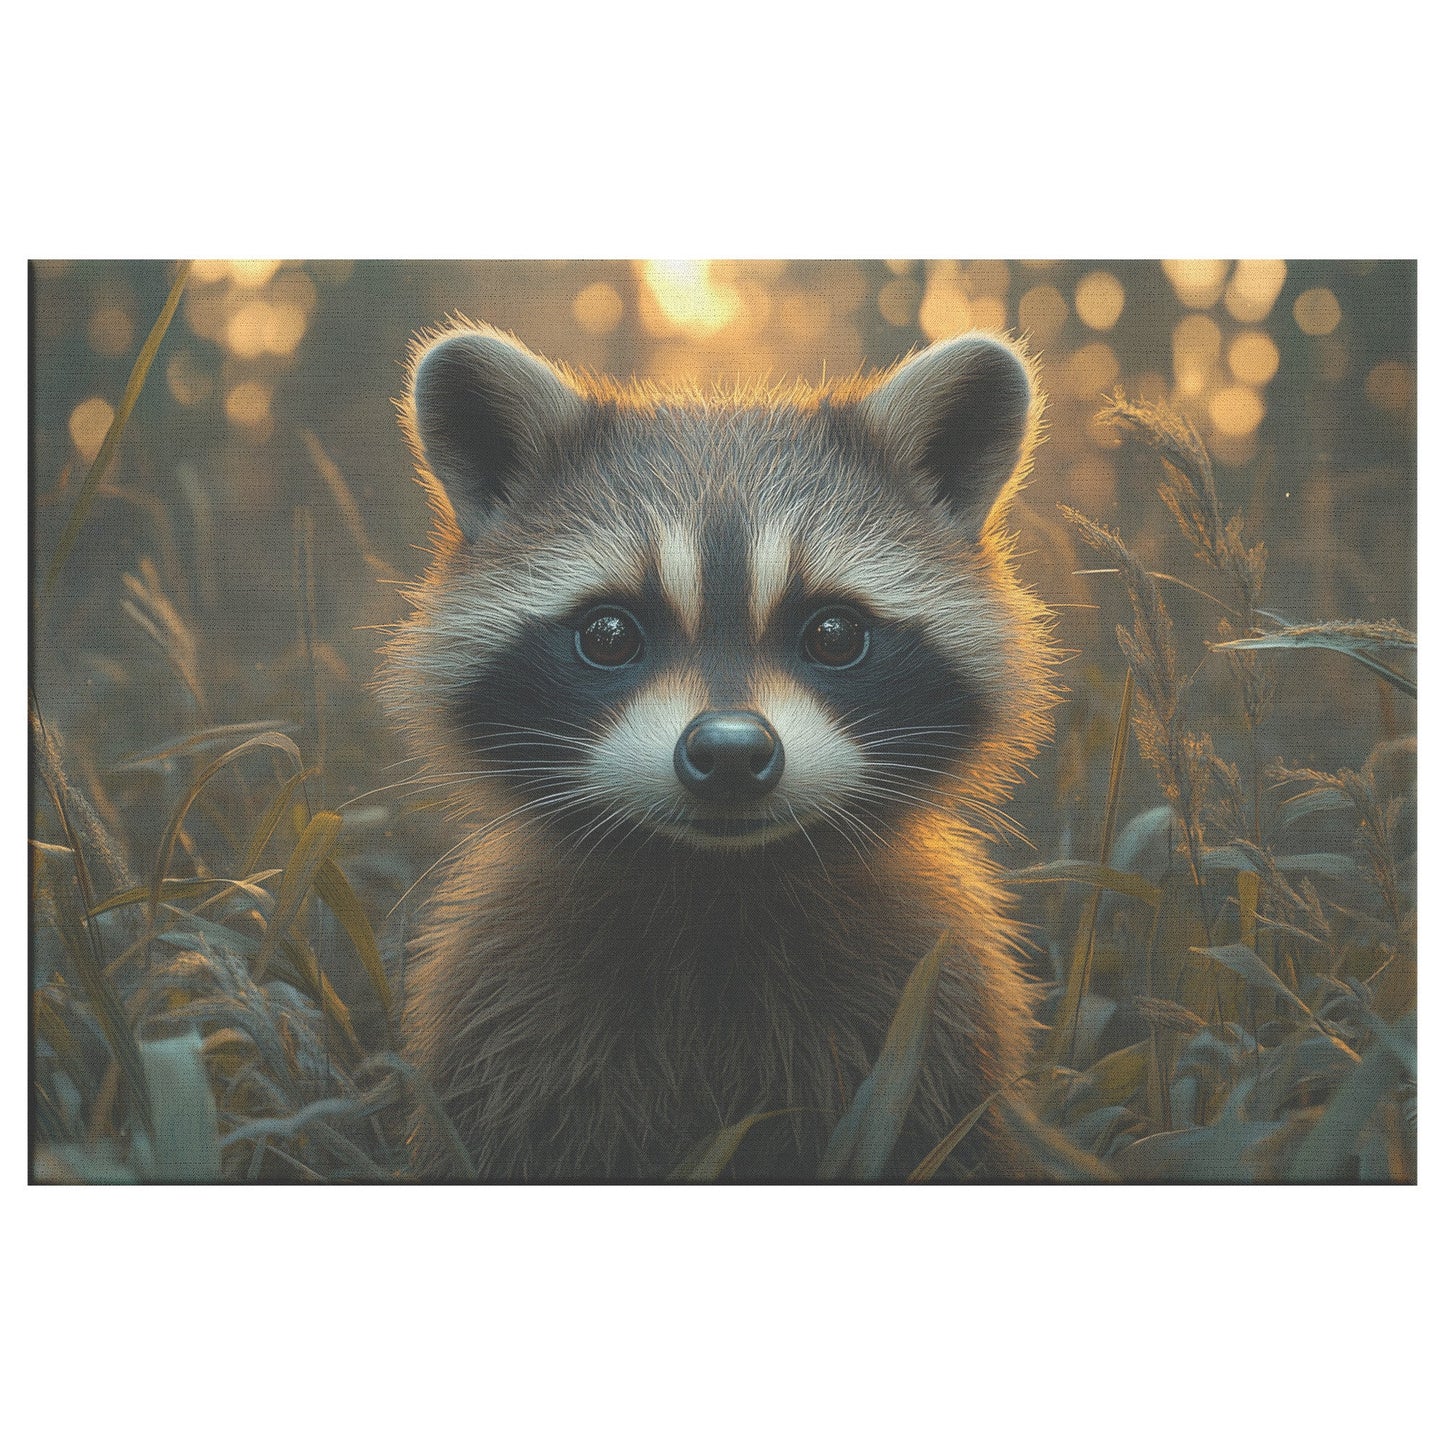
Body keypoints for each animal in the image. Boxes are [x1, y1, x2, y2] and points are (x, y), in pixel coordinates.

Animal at [381, 321, 1057, 1181]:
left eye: (833, 633)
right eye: (608, 633)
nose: (731, 751)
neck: (719, 886)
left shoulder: (940, 1009)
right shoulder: (500, 1020)